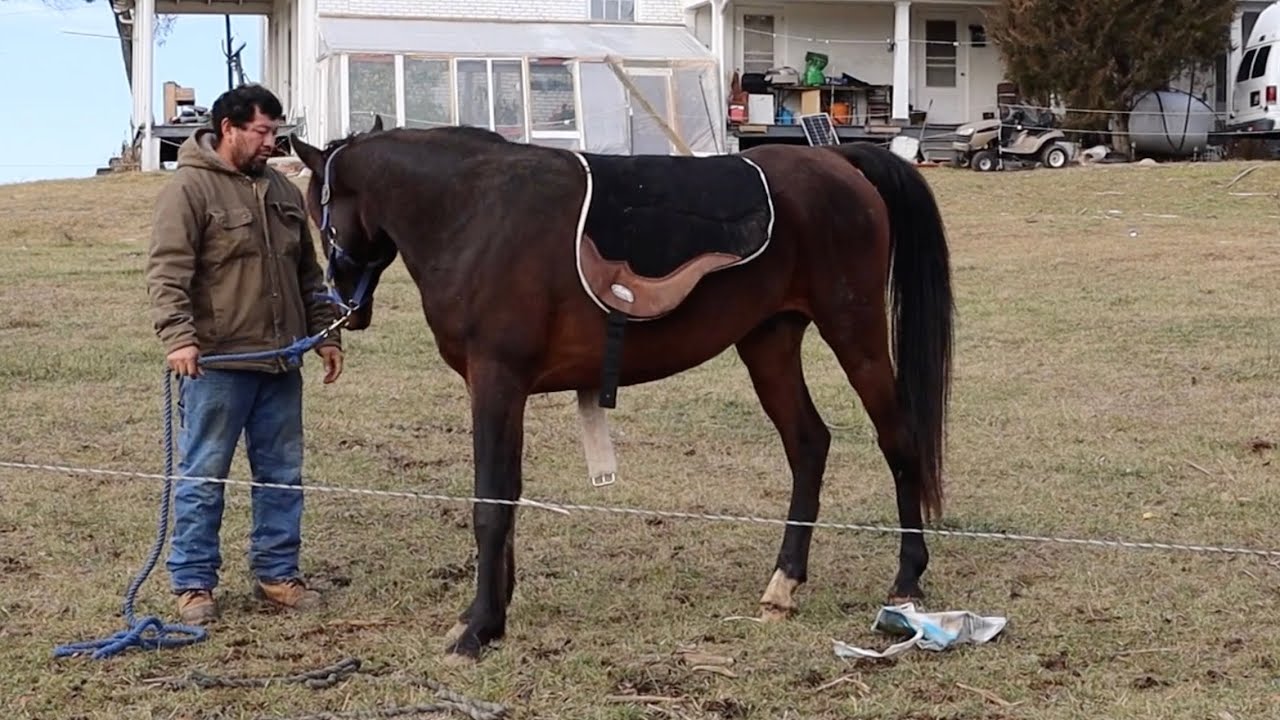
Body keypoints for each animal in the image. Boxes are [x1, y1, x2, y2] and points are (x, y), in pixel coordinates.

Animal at [289, 117, 955, 663]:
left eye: (317, 213)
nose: (346, 306)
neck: (474, 213)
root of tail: (838, 162)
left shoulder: (497, 380)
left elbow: (491, 502)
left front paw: (476, 629)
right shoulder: (505, 390)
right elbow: (509, 496)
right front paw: (493, 615)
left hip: (855, 333)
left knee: (898, 440)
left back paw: (907, 579)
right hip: (768, 342)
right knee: (808, 444)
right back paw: (784, 583)